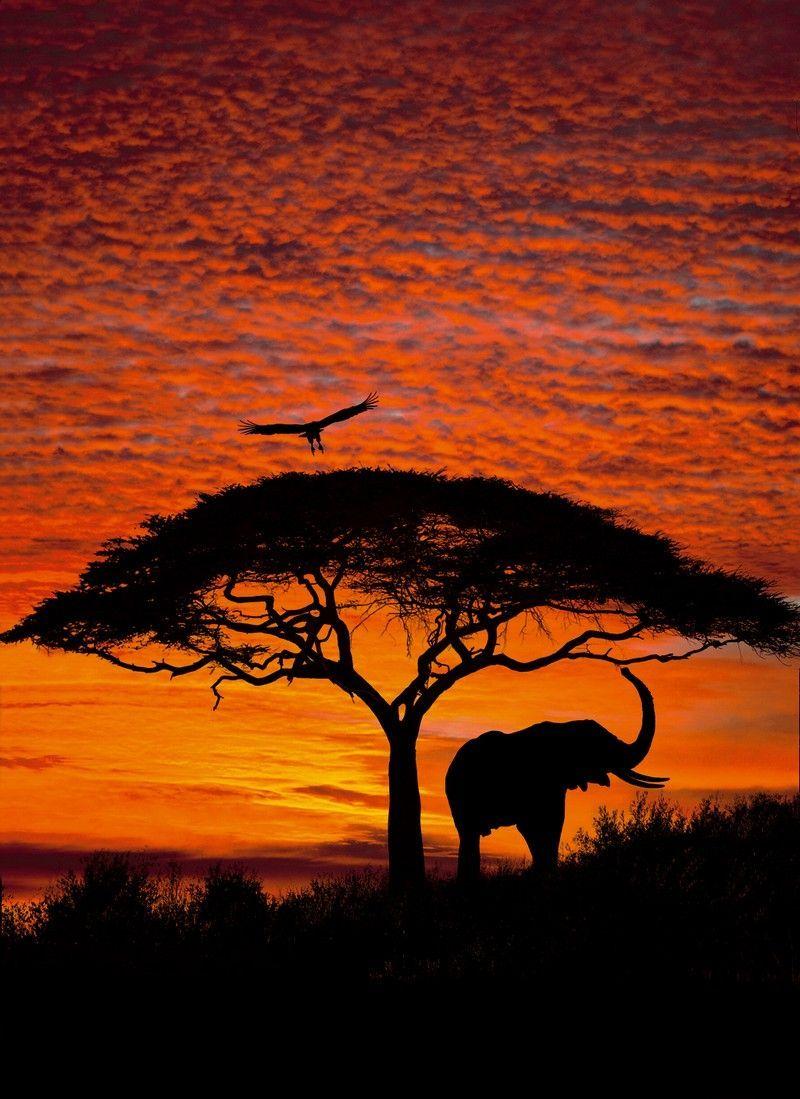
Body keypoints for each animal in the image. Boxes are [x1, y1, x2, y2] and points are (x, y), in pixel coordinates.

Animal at [445, 666, 667, 882]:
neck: (565, 727)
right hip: (459, 794)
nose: (624, 670)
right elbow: (534, 825)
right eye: (600, 747)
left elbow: (554, 821)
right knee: (469, 834)